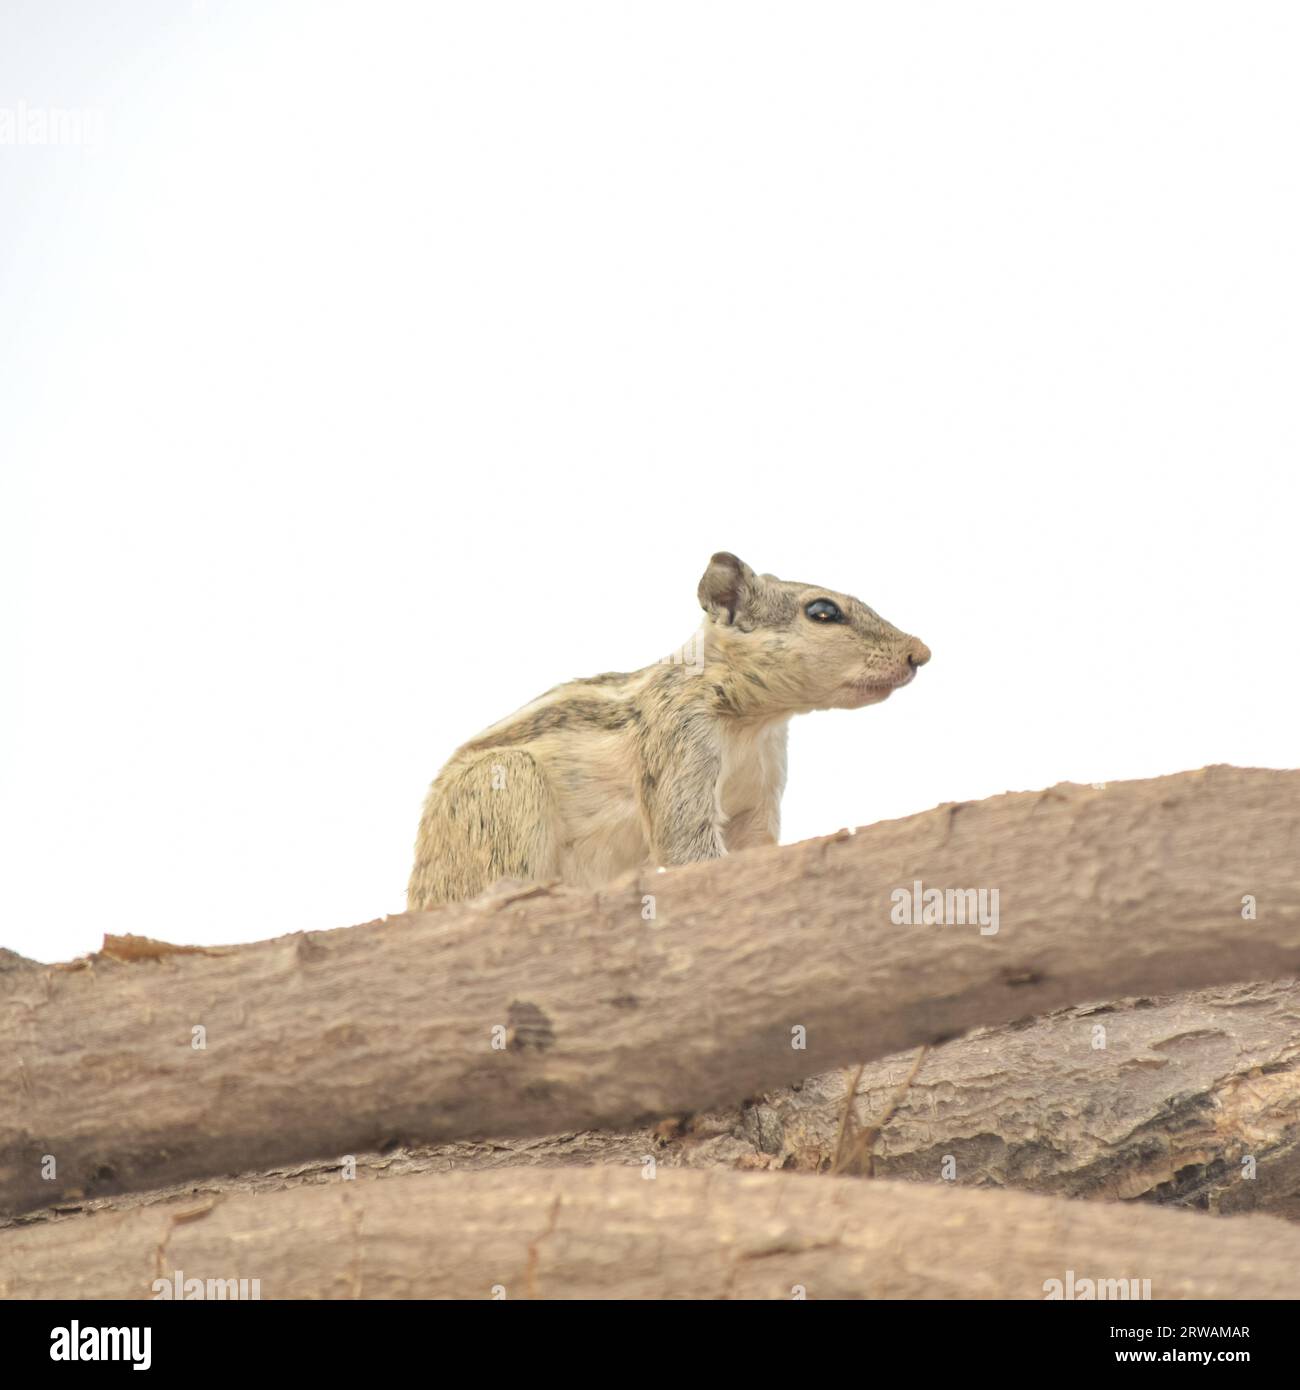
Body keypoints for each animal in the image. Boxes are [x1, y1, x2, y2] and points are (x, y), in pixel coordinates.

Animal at [407, 552, 930, 909]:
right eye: (823, 611)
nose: (920, 653)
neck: (752, 723)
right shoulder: (680, 737)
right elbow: (686, 843)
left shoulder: (761, 789)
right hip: (507, 786)